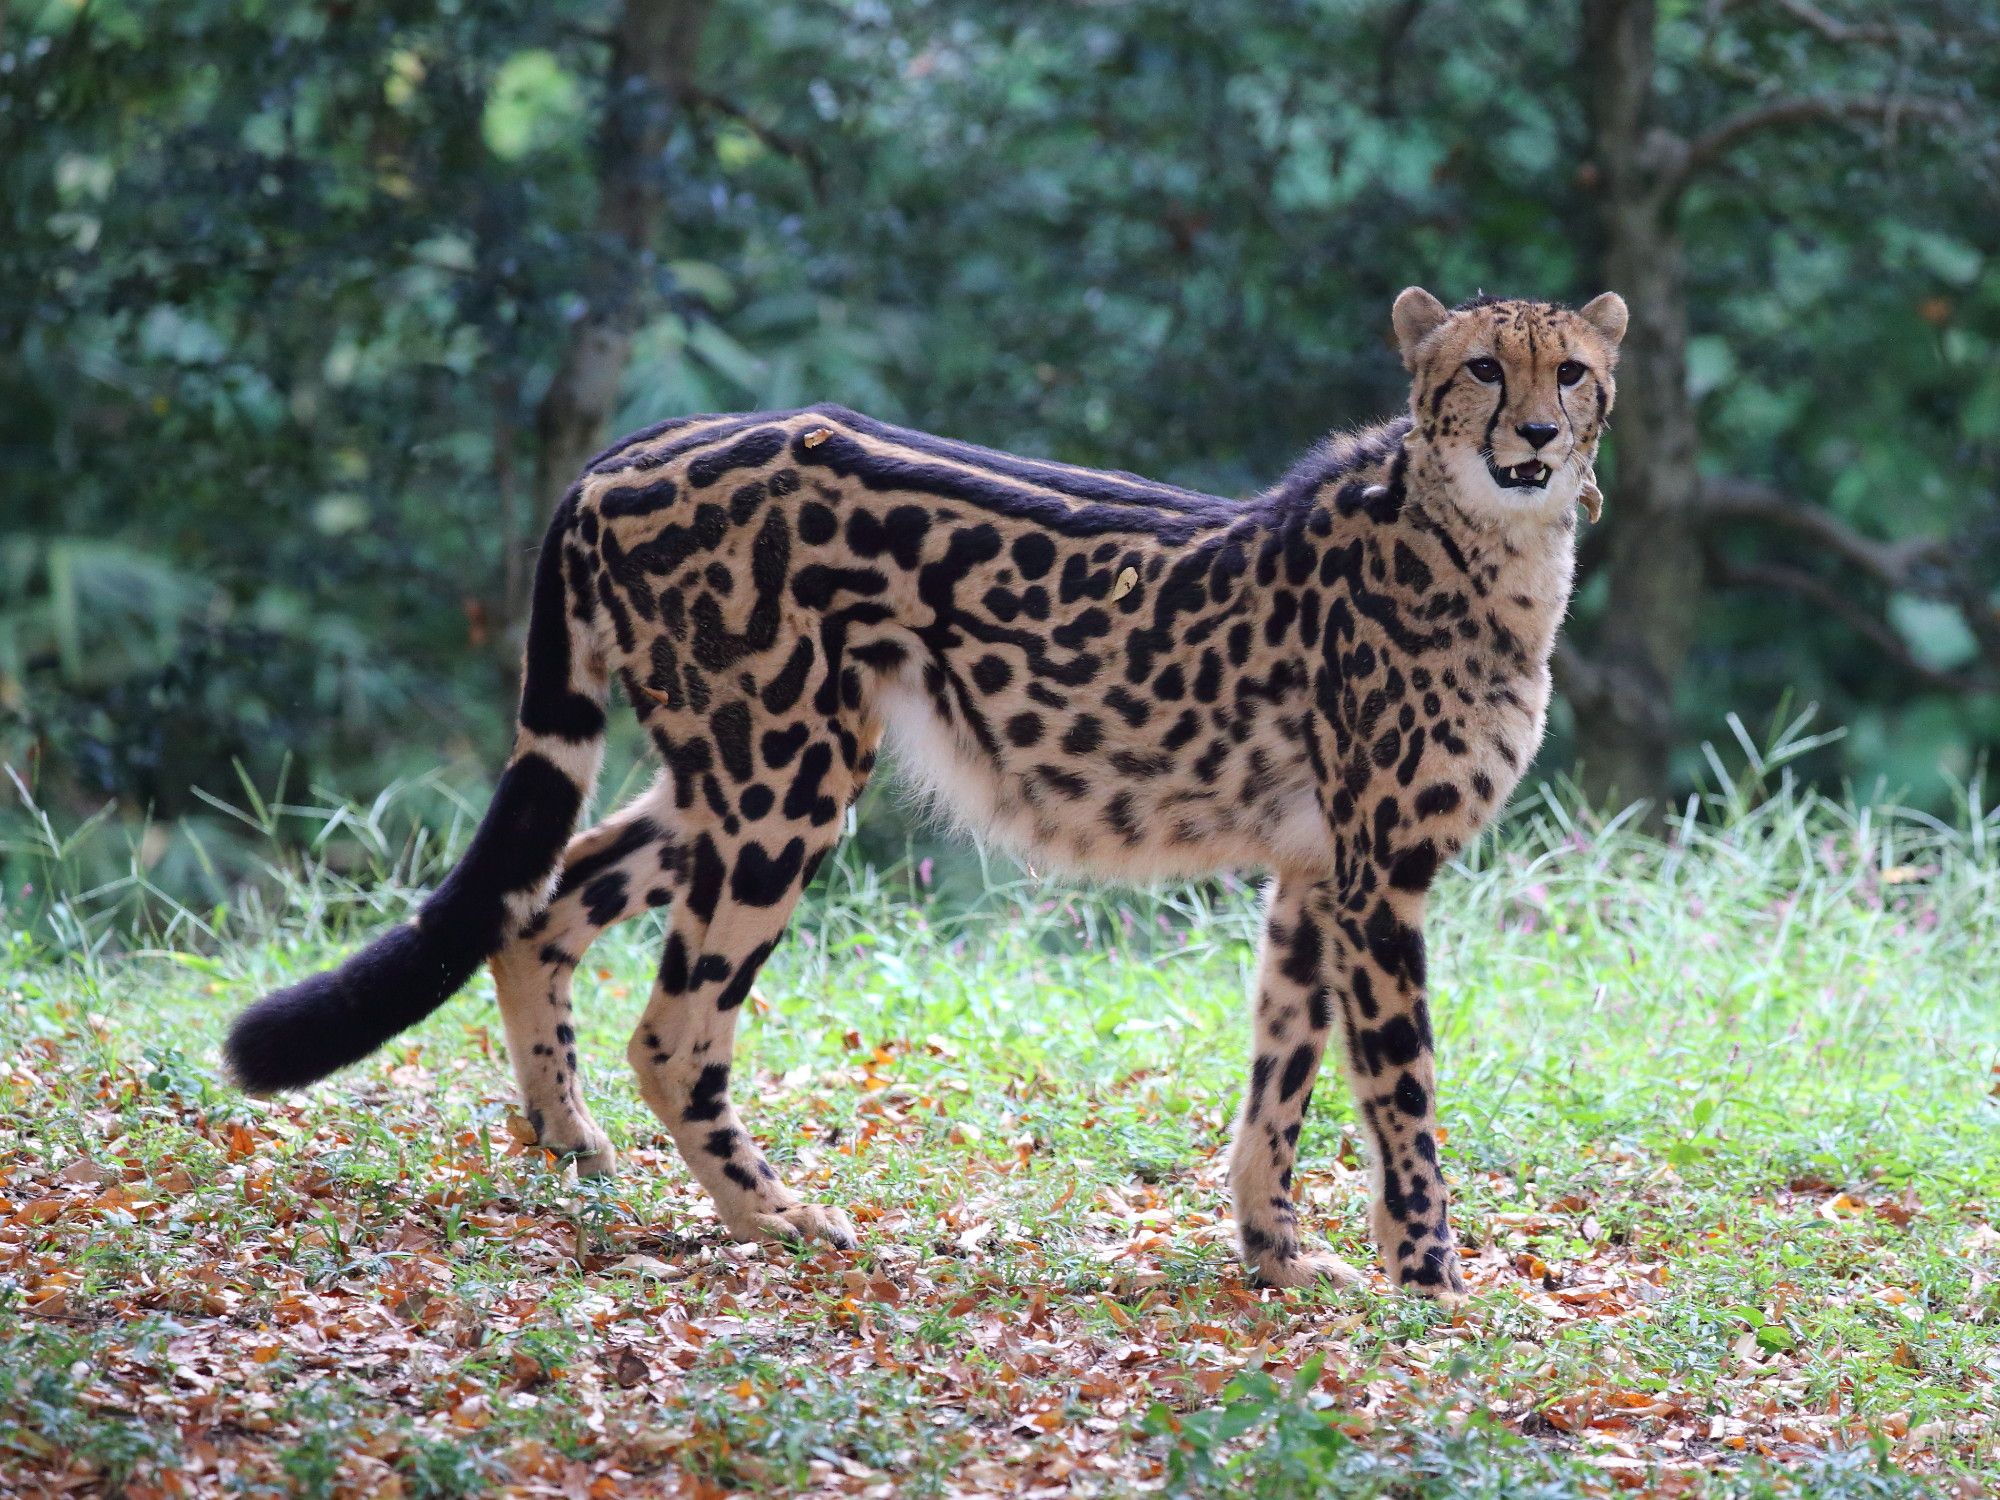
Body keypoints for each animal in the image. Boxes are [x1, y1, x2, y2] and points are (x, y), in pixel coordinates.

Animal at [226, 287, 1627, 1297]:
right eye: (1481, 369)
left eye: (1568, 371)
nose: (1534, 439)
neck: (1480, 542)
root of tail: (632, 446)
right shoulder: (1381, 873)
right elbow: (1402, 1089)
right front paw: (1428, 1280)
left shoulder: (1313, 870)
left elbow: (1278, 1076)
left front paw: (1277, 1255)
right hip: (782, 776)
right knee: (673, 1031)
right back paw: (777, 1217)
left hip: (732, 772)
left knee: (538, 907)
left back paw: (565, 1141)